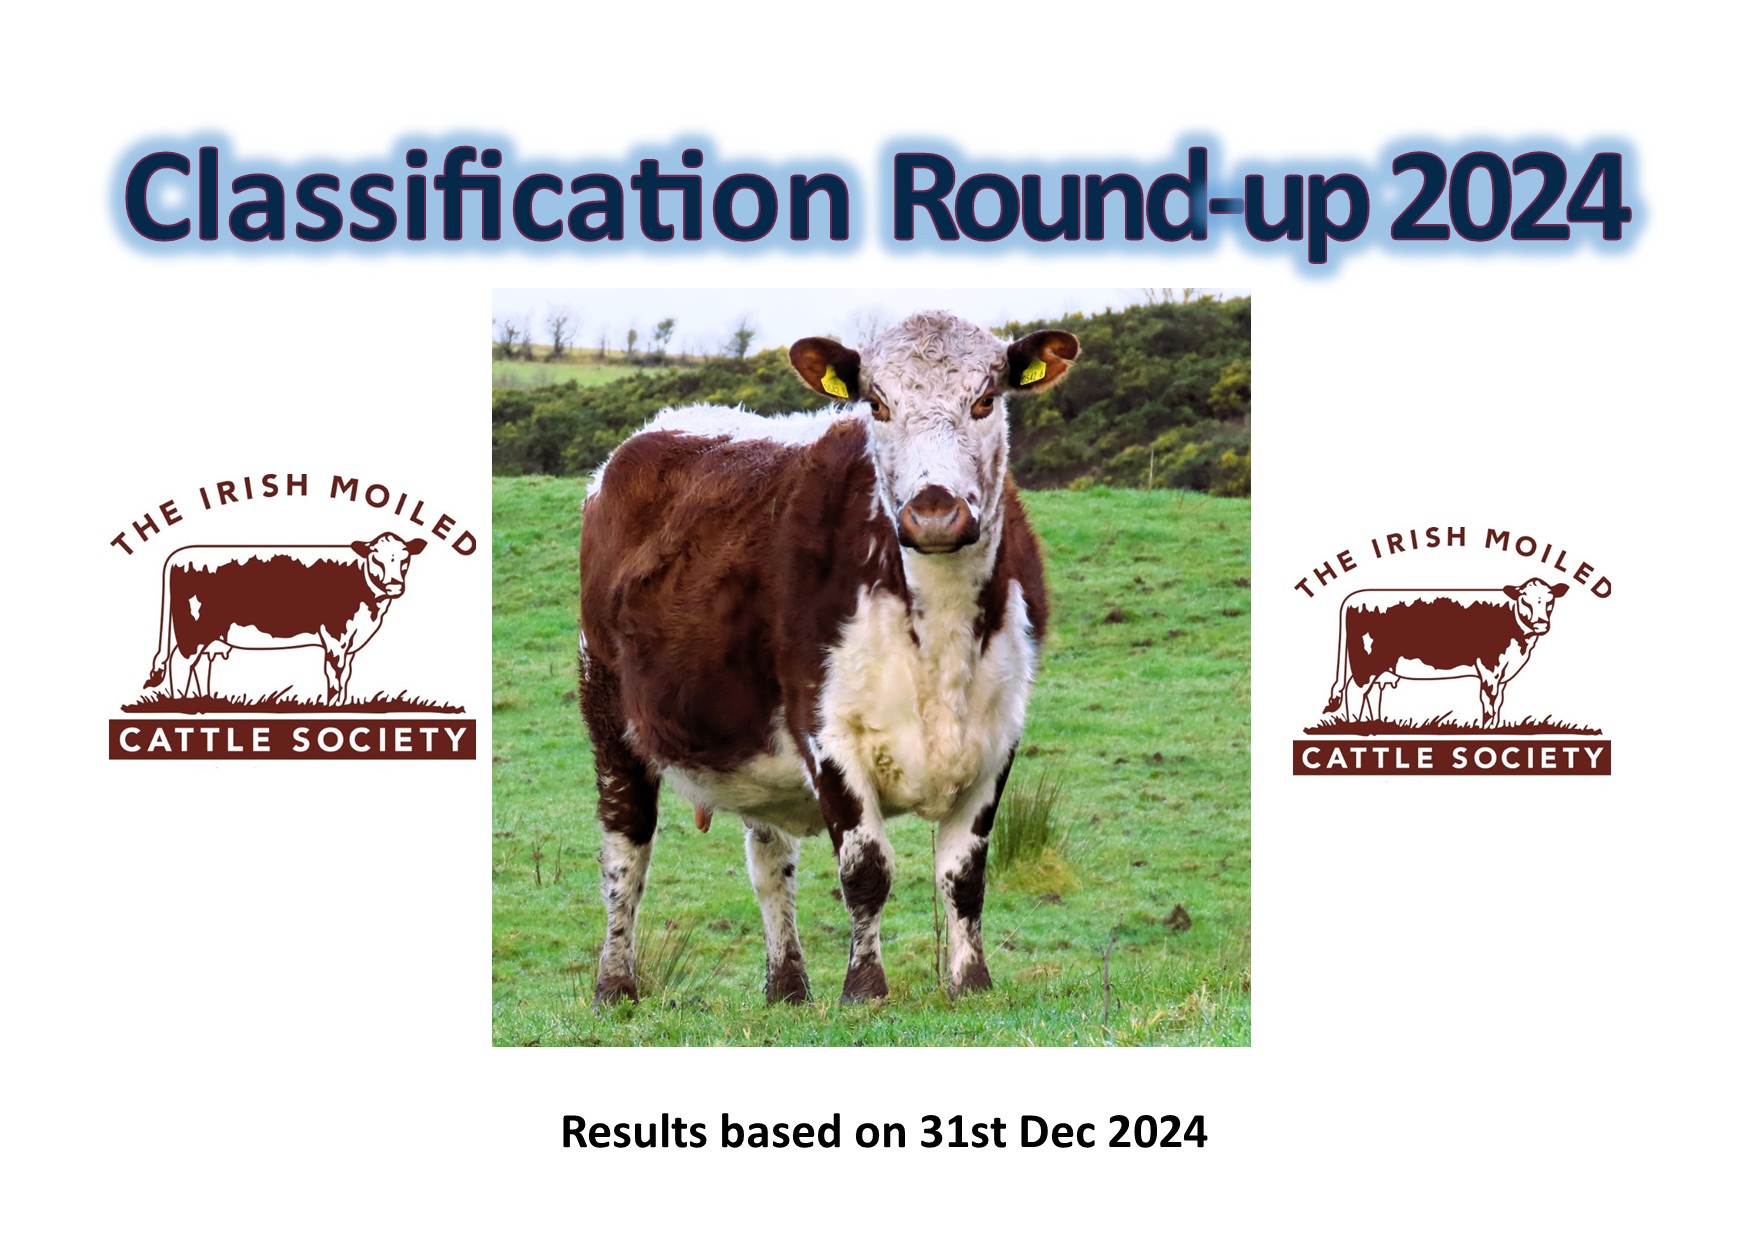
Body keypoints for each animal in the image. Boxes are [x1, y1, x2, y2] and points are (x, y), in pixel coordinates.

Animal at [142, 533, 427, 703]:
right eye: (376, 558)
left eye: (405, 559)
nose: (394, 585)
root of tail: (180, 555)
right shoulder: (335, 636)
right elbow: (334, 675)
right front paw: (333, 706)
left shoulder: (351, 641)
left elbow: (345, 675)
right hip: (194, 632)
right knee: (181, 664)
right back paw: (183, 703)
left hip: (209, 636)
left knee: (198, 666)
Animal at [577, 311, 1079, 1005]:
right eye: (878, 402)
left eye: (984, 399)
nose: (934, 511)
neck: (940, 639)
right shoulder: (827, 731)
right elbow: (866, 868)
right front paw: (865, 989)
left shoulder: (998, 734)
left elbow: (964, 872)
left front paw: (971, 983)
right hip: (607, 710)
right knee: (625, 849)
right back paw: (615, 983)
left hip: (755, 754)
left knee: (768, 860)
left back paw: (788, 986)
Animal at [1323, 579, 1569, 726]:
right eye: (1525, 600)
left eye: (1549, 601)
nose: (1540, 624)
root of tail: (1354, 597)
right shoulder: (1489, 667)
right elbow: (1488, 702)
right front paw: (1488, 728)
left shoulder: (1503, 672)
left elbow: (1498, 702)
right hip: (1366, 664)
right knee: (1355, 692)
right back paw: (1357, 727)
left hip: (1377, 667)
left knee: (1371, 694)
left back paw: (1376, 724)